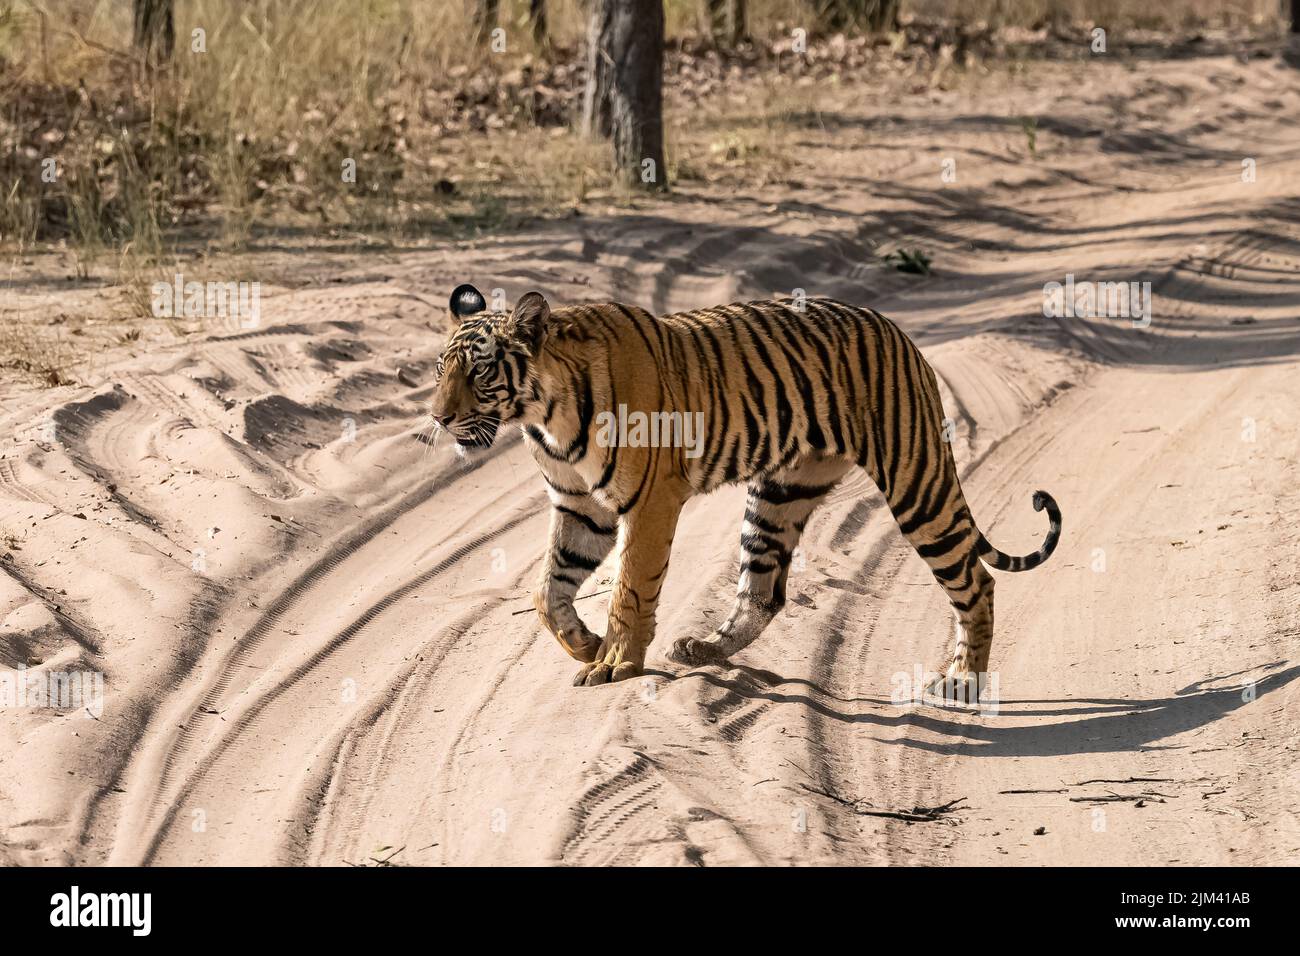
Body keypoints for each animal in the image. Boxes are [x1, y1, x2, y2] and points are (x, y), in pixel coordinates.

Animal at [428, 283, 1061, 702]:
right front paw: (585, 644)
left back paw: (962, 680)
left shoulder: (649, 502)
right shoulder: (580, 508)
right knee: (763, 592)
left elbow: (629, 589)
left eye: (480, 370)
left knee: (975, 580)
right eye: (440, 368)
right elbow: (546, 591)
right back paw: (702, 649)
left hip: (916, 482)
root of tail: (898, 331)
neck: (542, 416)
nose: (437, 417)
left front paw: (615, 663)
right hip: (780, 494)